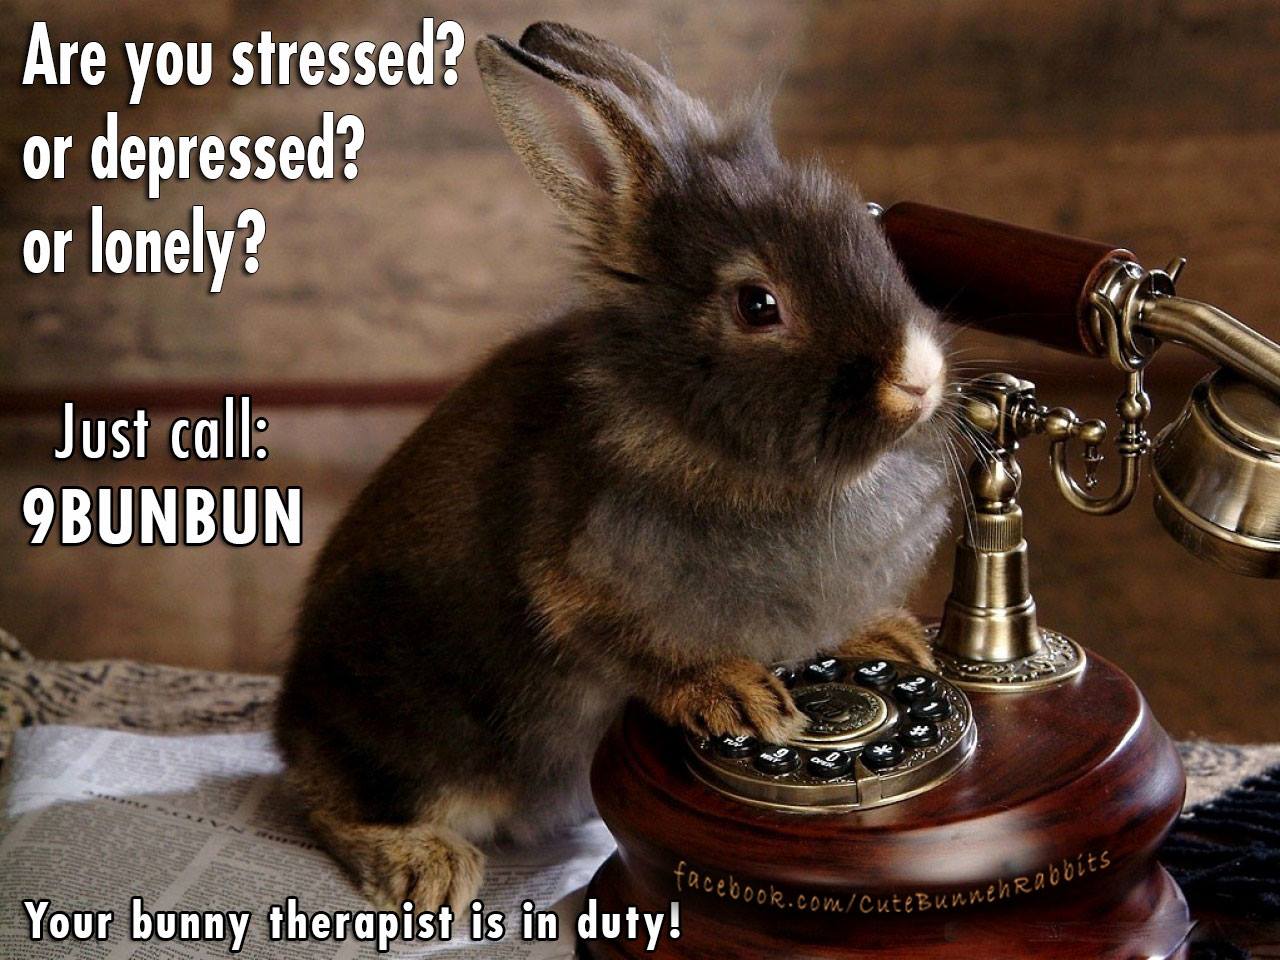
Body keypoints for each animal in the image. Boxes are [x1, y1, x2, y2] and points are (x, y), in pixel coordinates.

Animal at [273, 21, 953, 916]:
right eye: (758, 304)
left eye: (869, 227)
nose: (920, 378)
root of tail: (294, 718)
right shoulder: (579, 585)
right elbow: (638, 646)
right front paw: (738, 697)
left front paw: (894, 639)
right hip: (415, 729)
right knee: (329, 802)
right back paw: (428, 865)